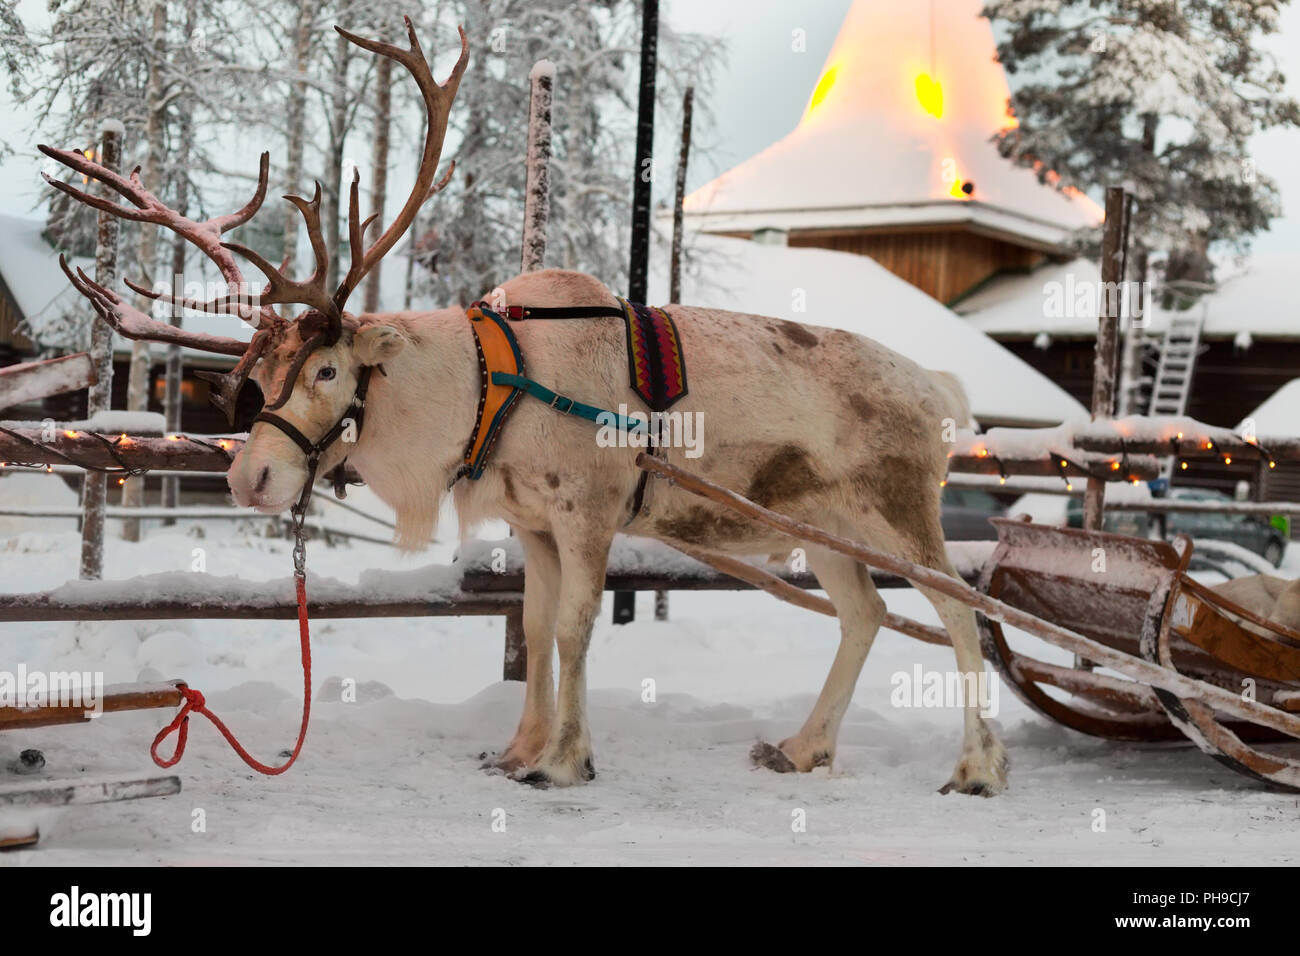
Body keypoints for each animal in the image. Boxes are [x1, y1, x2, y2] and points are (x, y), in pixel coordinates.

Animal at [42, 19, 1008, 796]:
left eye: (326, 369)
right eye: (258, 371)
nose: (251, 478)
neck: (486, 390)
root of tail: (942, 388)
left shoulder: (588, 514)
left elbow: (577, 629)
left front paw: (565, 760)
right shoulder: (534, 524)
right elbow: (538, 630)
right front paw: (520, 748)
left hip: (900, 507)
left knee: (962, 610)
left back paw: (976, 767)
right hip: (825, 523)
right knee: (867, 613)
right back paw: (804, 747)